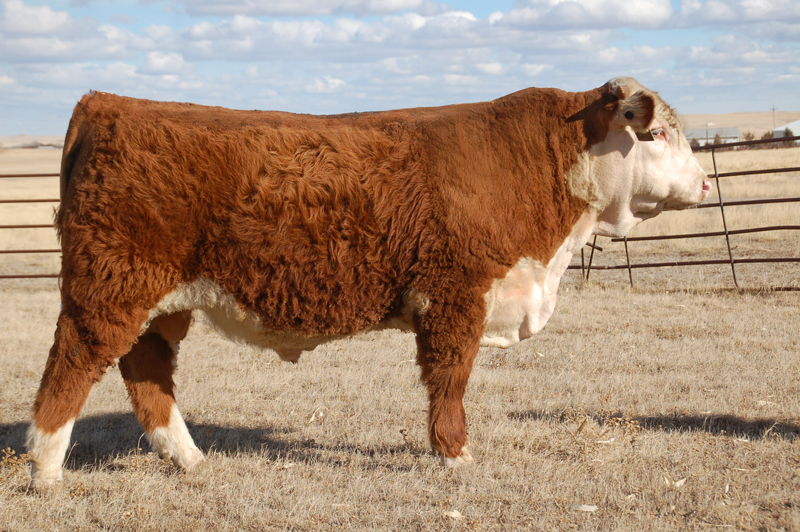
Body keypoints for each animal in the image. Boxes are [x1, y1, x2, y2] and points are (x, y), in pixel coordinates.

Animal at [27, 77, 710, 488]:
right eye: (656, 133)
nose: (706, 182)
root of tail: (107, 102)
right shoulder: (455, 296)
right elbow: (450, 380)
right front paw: (455, 454)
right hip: (107, 290)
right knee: (71, 365)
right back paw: (44, 471)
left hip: (160, 299)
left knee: (146, 370)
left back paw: (189, 458)